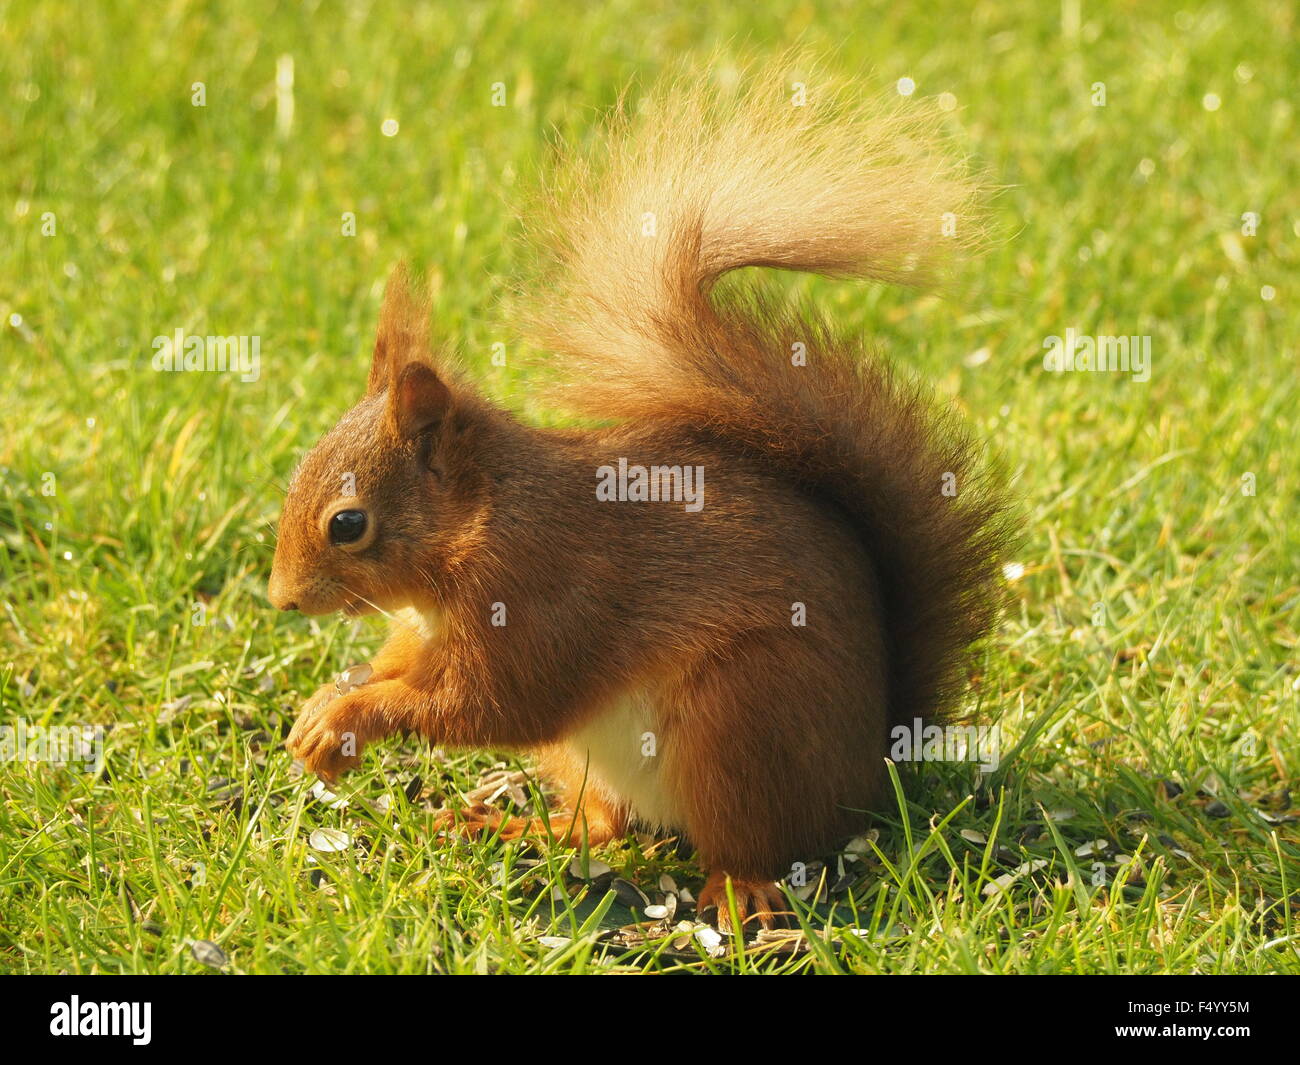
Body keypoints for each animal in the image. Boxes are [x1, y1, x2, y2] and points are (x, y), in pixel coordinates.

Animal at [268, 66, 1011, 930]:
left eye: (348, 524)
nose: (282, 599)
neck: (477, 524)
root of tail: (870, 778)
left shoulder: (546, 596)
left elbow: (490, 703)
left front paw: (351, 718)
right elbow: (400, 664)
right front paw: (328, 700)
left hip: (740, 720)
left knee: (749, 840)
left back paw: (738, 892)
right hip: (595, 757)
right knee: (604, 822)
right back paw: (517, 824)